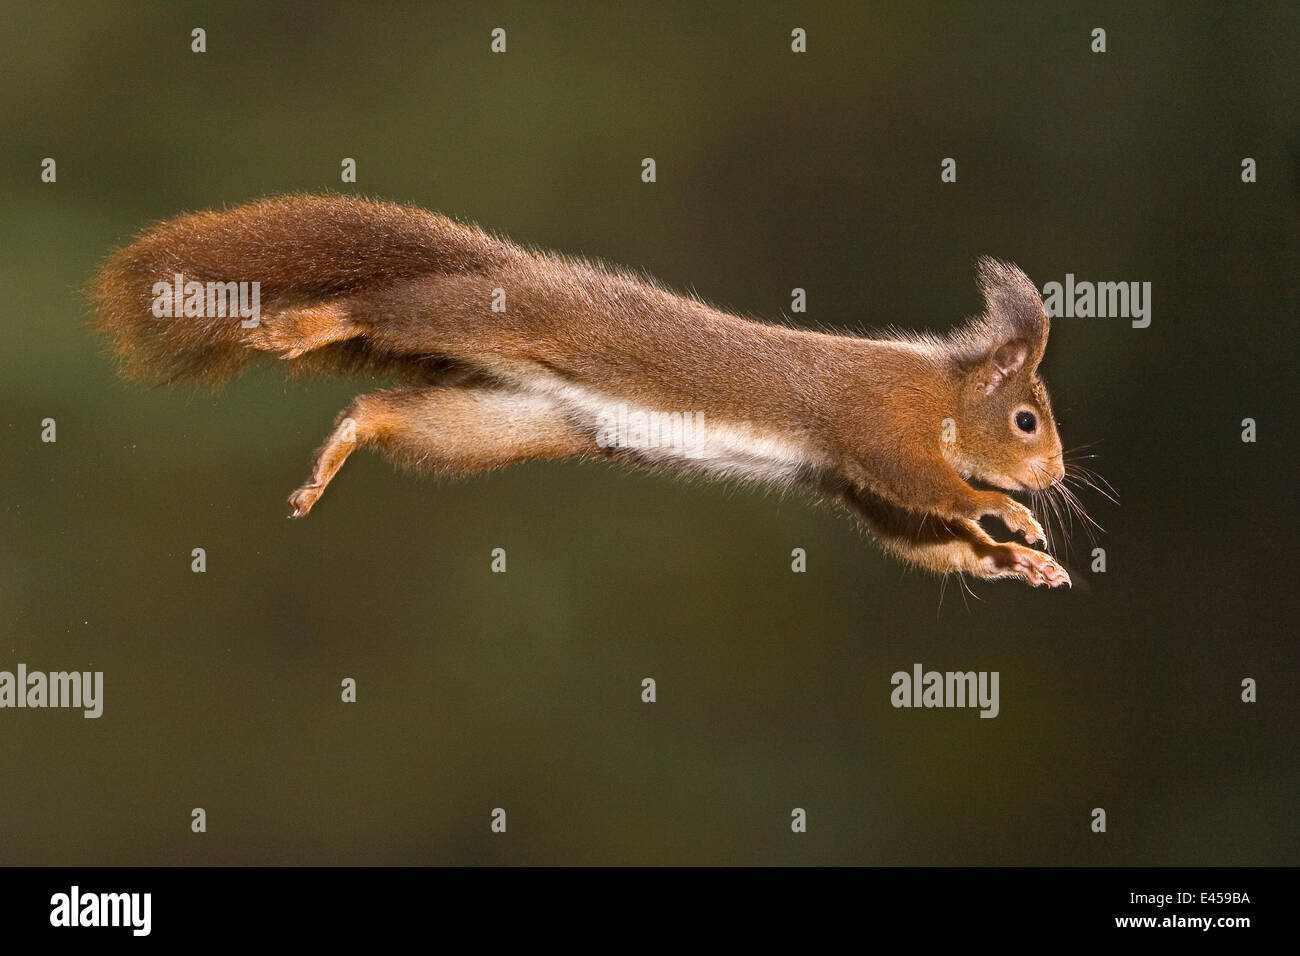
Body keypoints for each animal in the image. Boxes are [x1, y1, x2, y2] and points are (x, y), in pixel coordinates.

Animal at [90, 194, 1075, 588]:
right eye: (1027, 420)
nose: (1057, 476)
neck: (939, 395)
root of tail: (516, 268)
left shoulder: (853, 480)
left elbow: (920, 536)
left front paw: (1016, 561)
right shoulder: (874, 428)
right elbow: (932, 491)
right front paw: (1012, 517)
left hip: (513, 418)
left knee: (384, 411)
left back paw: (336, 450)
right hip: (484, 321)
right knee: (384, 304)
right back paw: (302, 327)